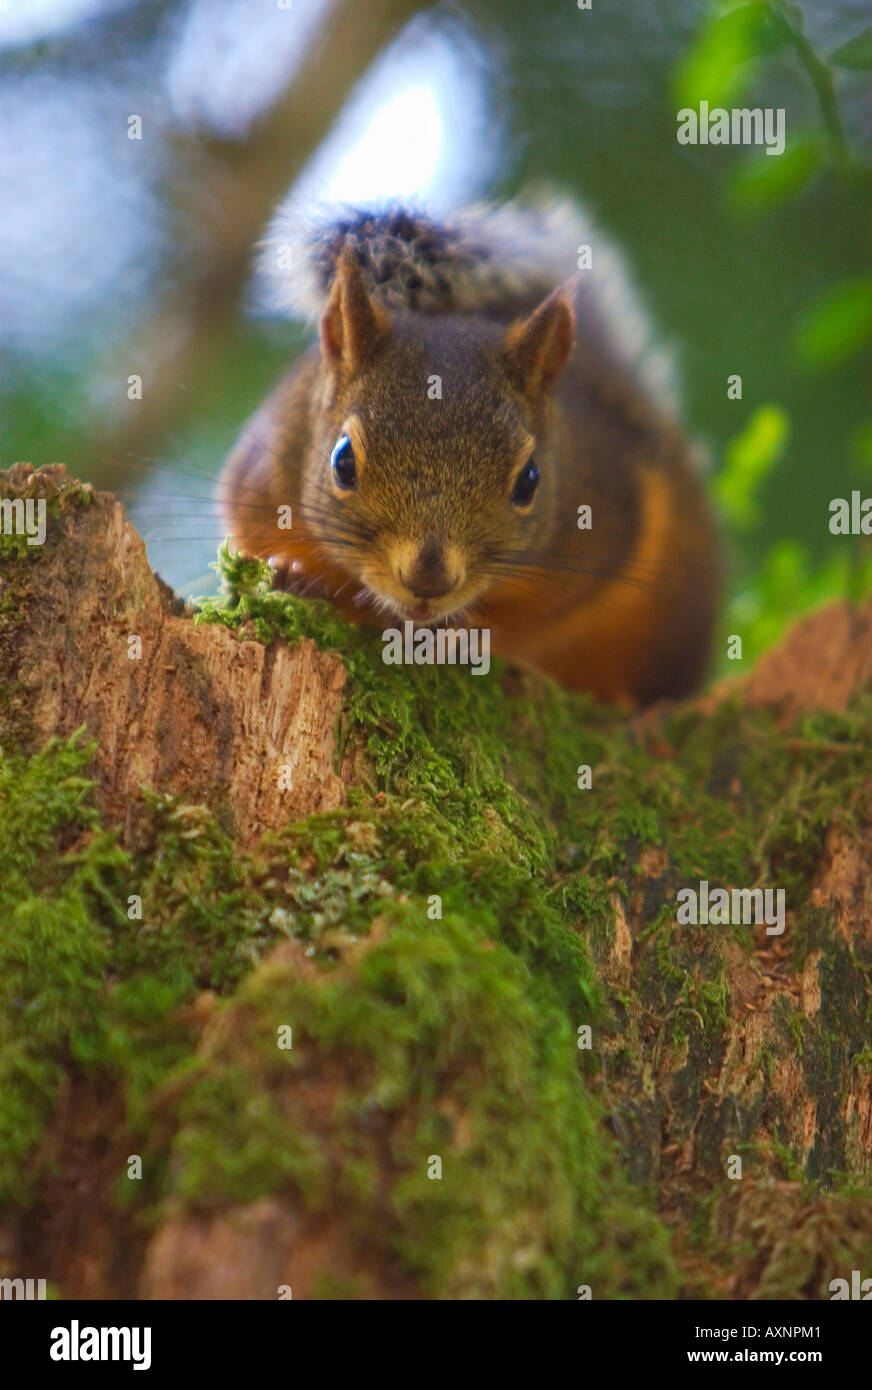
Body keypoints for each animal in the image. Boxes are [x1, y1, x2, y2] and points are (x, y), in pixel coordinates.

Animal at [218, 196, 719, 702]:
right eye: (342, 462)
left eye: (529, 481)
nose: (428, 580)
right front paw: (297, 576)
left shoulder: (603, 520)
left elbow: (529, 619)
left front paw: (458, 636)